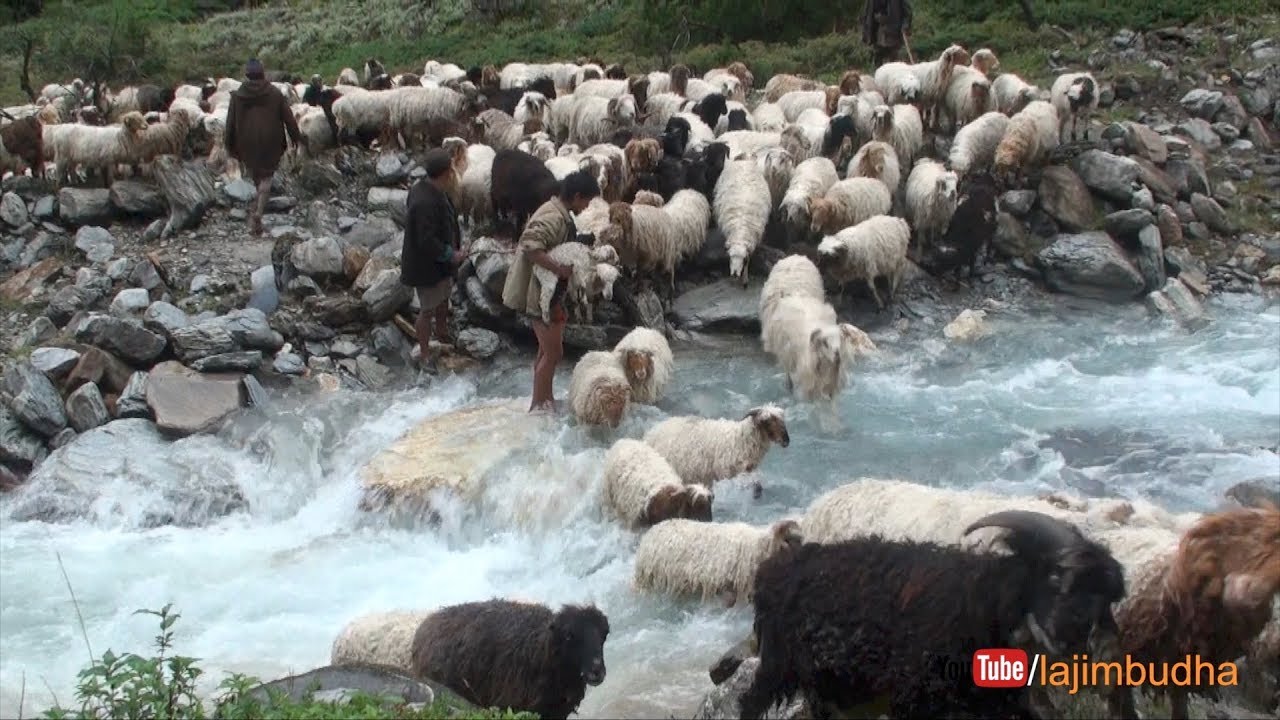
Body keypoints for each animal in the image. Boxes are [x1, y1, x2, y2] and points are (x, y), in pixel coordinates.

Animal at [642, 404, 789, 489]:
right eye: (766, 421)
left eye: (782, 420)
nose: (786, 440)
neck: (740, 440)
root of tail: (652, 431)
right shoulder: (726, 474)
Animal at [739, 510, 1126, 720]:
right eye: (1056, 576)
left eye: (1107, 600)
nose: (1073, 636)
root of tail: (774, 568)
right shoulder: (916, 697)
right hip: (780, 665)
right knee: (749, 702)